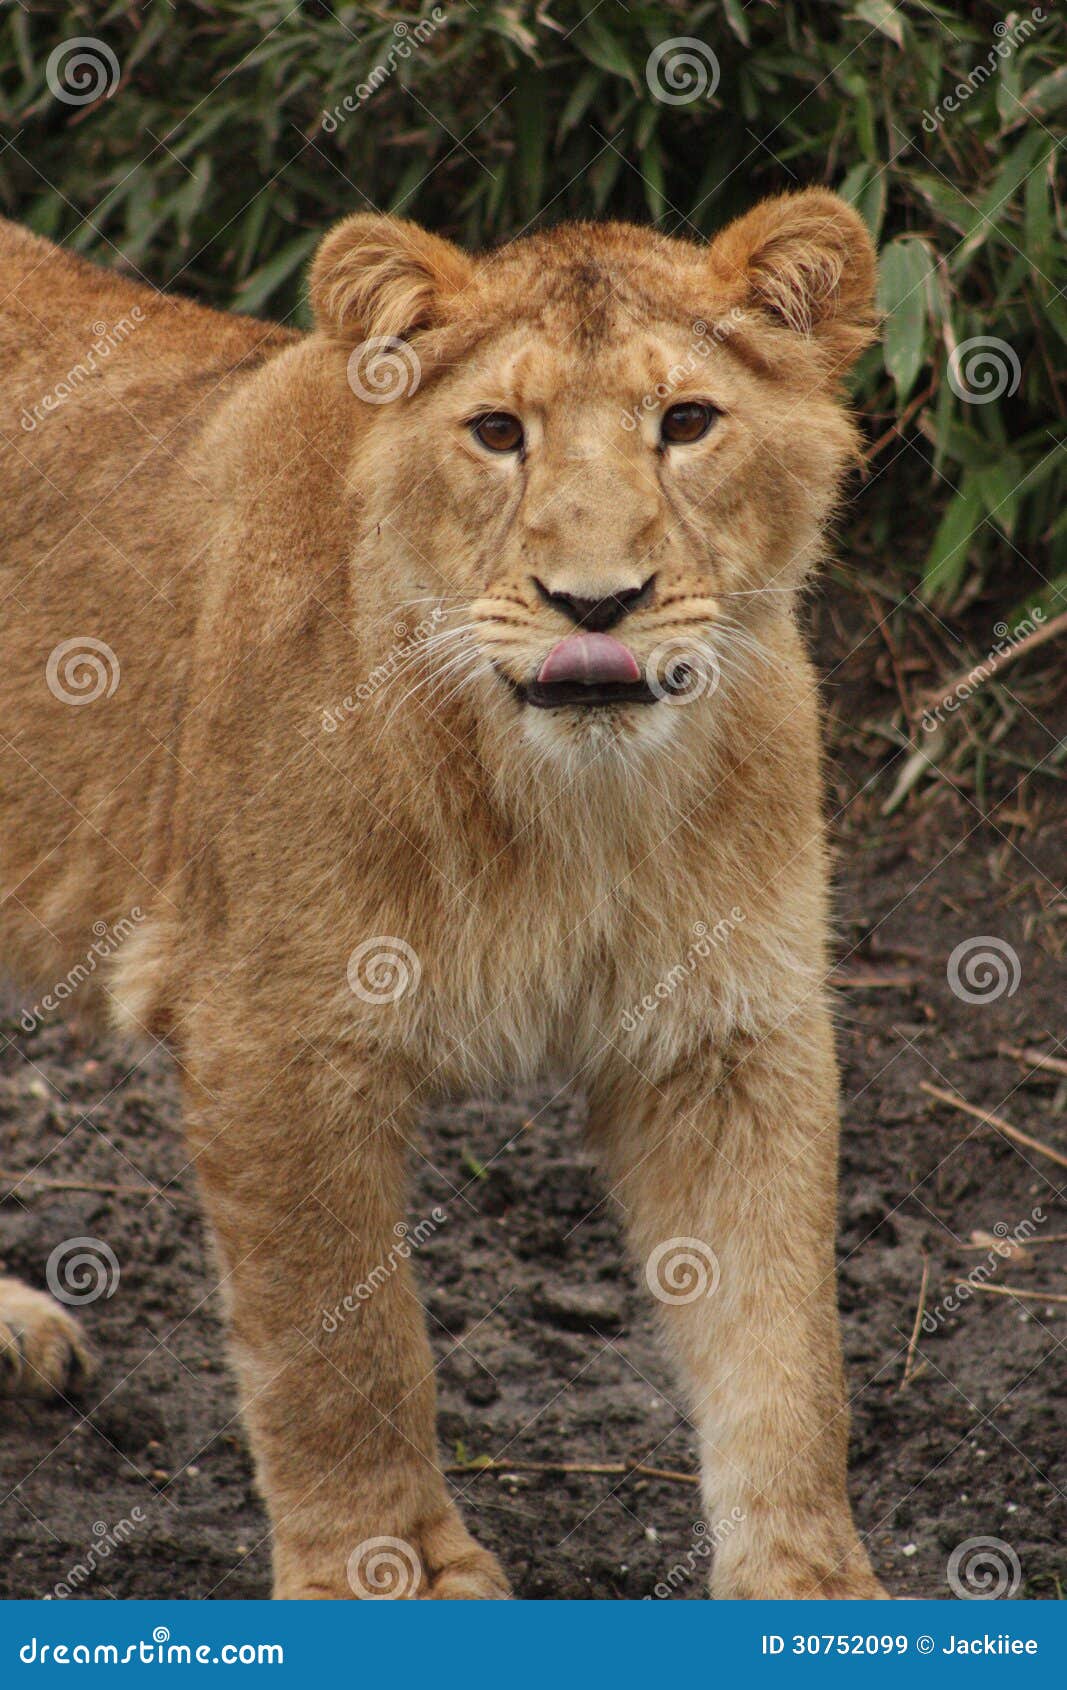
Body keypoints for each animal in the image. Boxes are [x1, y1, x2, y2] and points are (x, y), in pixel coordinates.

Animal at [0, 189, 886, 1599]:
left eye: (686, 423)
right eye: (496, 433)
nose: (596, 604)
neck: (564, 800)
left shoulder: (726, 1034)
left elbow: (783, 1334)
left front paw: (808, 1586)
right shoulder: (274, 1034)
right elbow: (342, 1355)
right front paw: (391, 1571)